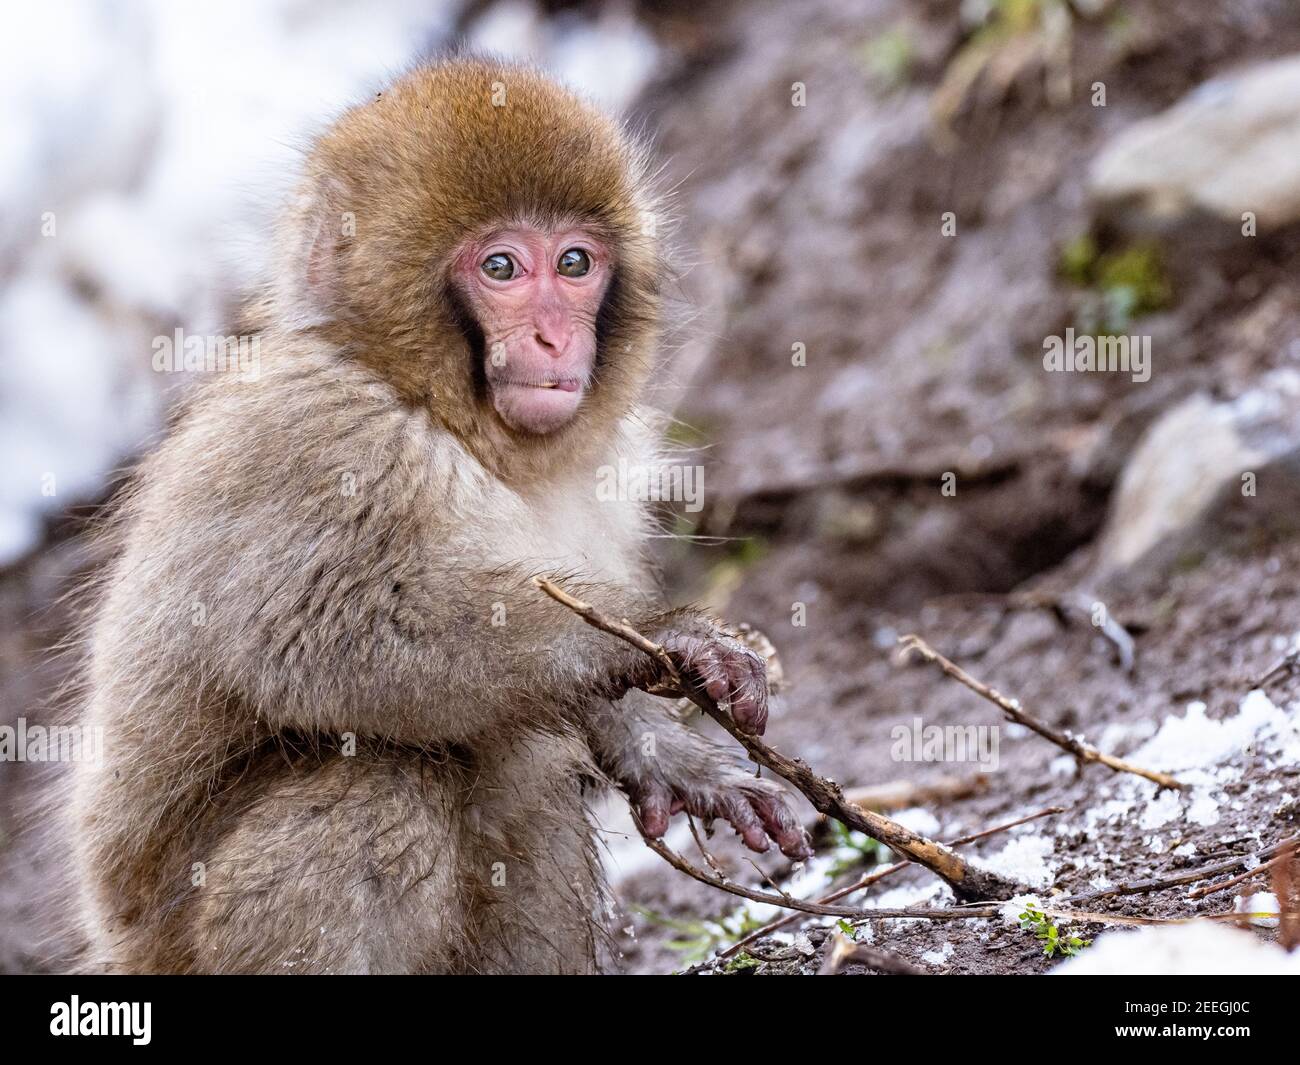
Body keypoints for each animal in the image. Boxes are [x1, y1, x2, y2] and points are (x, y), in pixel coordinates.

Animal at [66, 57, 812, 975]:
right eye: (501, 267)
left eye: (574, 262)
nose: (556, 338)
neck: (434, 407)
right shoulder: (324, 441)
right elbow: (317, 640)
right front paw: (654, 637)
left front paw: (669, 755)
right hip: (173, 942)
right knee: (382, 782)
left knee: (524, 792)